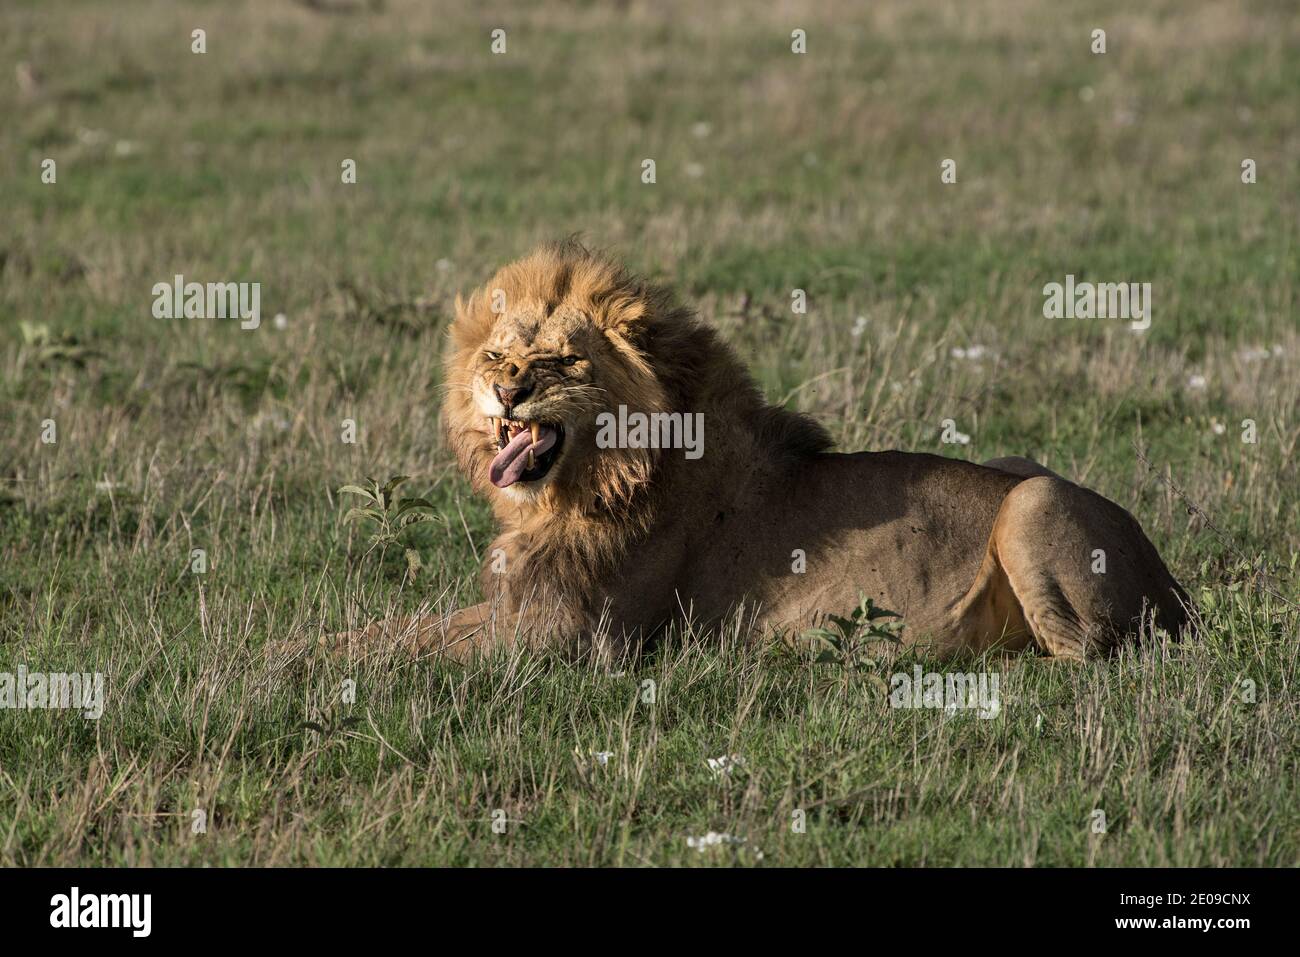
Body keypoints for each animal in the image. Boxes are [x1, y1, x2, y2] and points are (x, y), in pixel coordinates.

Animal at [342, 241, 1189, 662]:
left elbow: (413, 647)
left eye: (561, 360)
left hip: (1031, 502)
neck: (595, 484)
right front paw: (313, 650)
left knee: (1086, 654)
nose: (506, 391)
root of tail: (1177, 591)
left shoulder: (574, 635)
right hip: (1023, 465)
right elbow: (394, 627)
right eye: (496, 356)